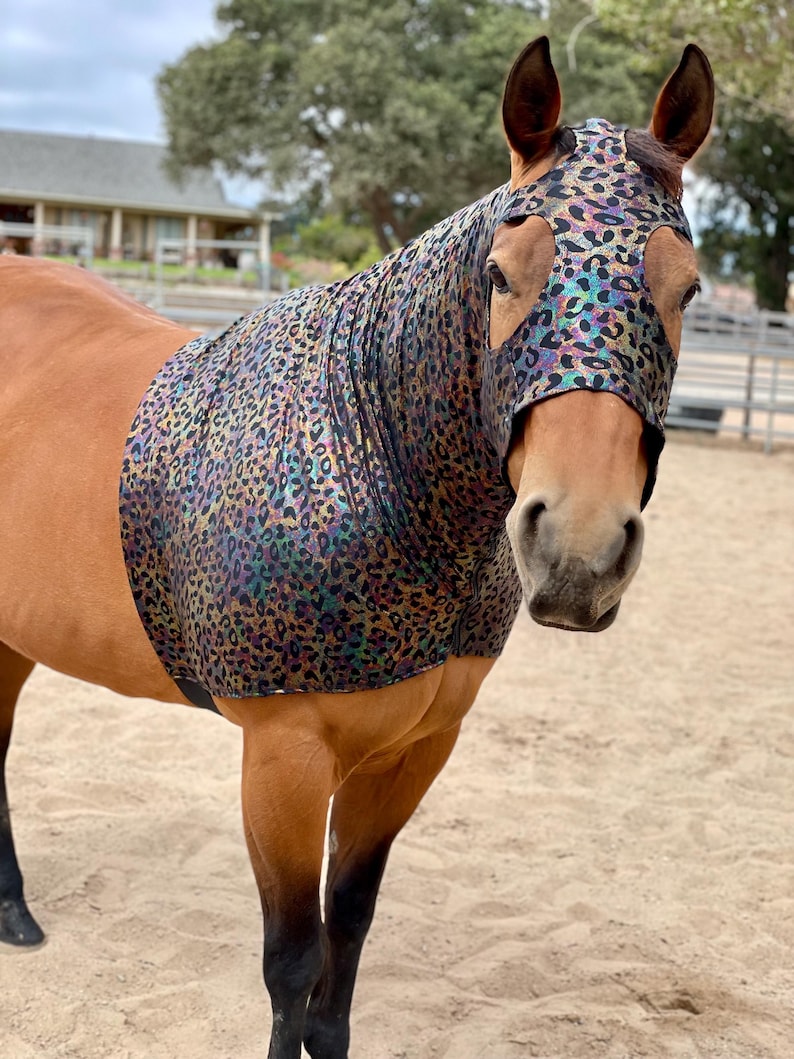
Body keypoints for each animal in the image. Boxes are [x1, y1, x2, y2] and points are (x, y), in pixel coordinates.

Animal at [0, 36, 712, 1059]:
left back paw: (15, 912)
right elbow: (293, 963)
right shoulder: (284, 759)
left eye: (687, 287)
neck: (369, 452)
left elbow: (348, 941)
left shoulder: (411, 754)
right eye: (501, 274)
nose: (579, 547)